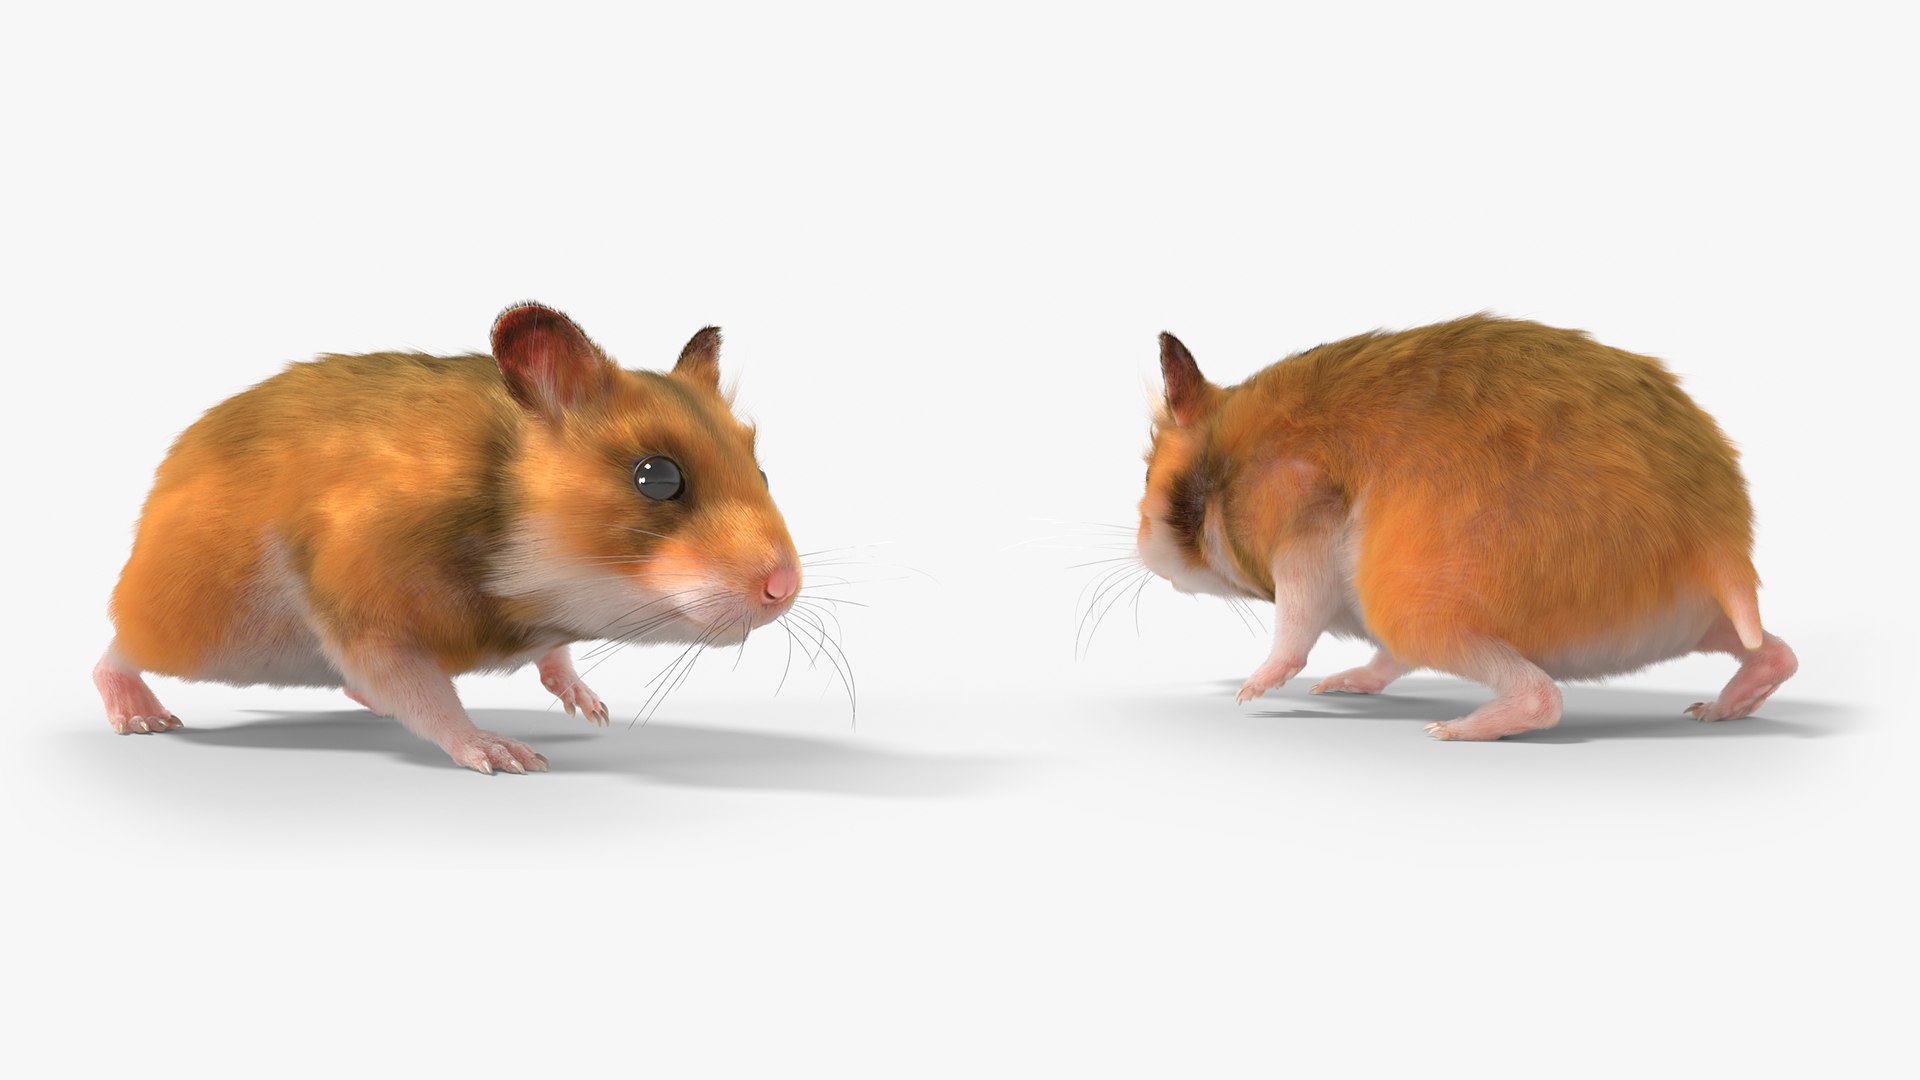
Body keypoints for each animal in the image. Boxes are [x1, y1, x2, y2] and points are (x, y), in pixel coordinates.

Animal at [93, 303, 802, 773]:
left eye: (764, 472)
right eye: (656, 477)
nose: (785, 589)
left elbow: (552, 659)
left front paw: (592, 708)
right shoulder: (368, 613)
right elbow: (425, 693)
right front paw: (507, 756)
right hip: (201, 627)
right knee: (113, 653)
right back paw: (143, 719)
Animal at [1136, 314, 1796, 741]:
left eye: (1152, 479)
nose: (1145, 555)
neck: (1229, 466)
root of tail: (1717, 547)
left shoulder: (1305, 533)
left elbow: (1294, 631)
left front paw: (1252, 690)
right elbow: (1380, 658)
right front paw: (1335, 686)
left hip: (1410, 603)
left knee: (1541, 695)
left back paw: (1451, 729)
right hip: (1688, 617)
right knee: (1775, 652)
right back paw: (1719, 710)